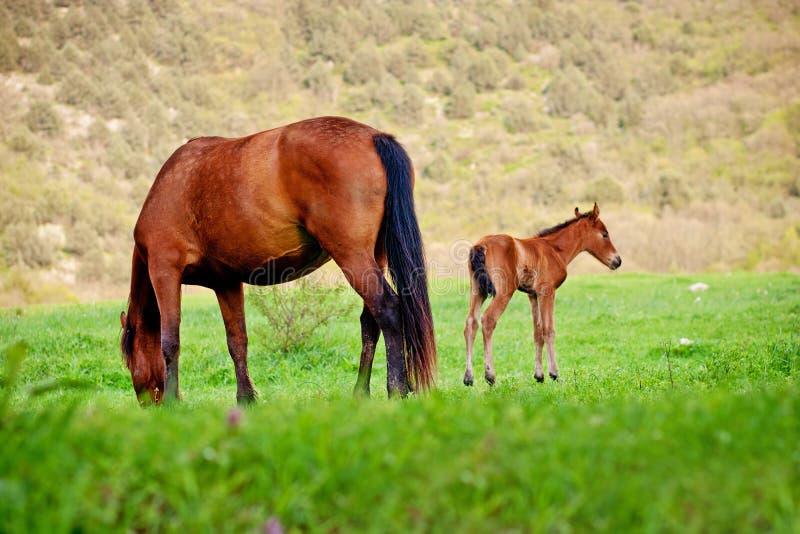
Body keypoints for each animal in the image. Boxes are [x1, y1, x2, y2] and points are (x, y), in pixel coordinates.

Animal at [119, 116, 437, 405]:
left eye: (129, 358)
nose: (147, 403)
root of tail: (375, 137)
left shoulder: (165, 271)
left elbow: (170, 340)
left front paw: (174, 402)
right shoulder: (226, 283)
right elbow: (237, 342)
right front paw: (246, 398)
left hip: (352, 256)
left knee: (388, 309)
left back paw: (397, 389)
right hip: (375, 257)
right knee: (370, 321)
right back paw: (361, 391)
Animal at [463, 203, 621, 387]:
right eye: (605, 234)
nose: (617, 261)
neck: (554, 249)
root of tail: (480, 246)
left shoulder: (533, 295)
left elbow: (537, 332)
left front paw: (539, 375)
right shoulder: (547, 291)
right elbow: (548, 330)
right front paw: (554, 374)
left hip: (477, 290)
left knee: (471, 323)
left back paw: (468, 377)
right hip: (504, 292)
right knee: (488, 320)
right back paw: (490, 376)